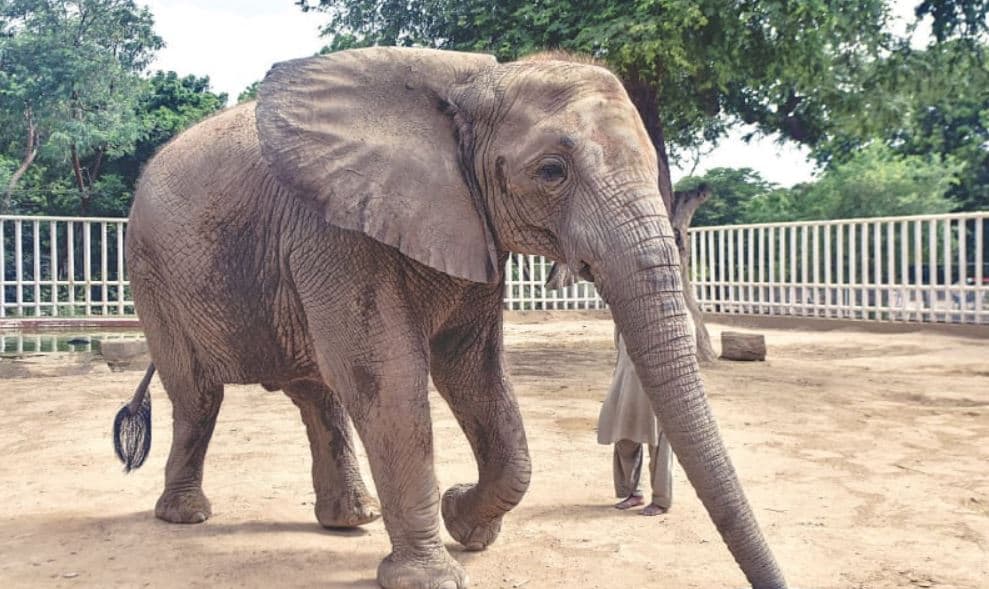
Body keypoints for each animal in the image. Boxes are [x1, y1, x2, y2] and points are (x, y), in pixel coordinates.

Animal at [111, 47, 787, 588]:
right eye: (551, 172)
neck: (477, 82)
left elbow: (474, 373)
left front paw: (464, 520)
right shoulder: (334, 231)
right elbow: (389, 378)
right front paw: (431, 575)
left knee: (317, 394)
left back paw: (351, 520)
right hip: (151, 271)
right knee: (199, 395)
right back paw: (187, 516)